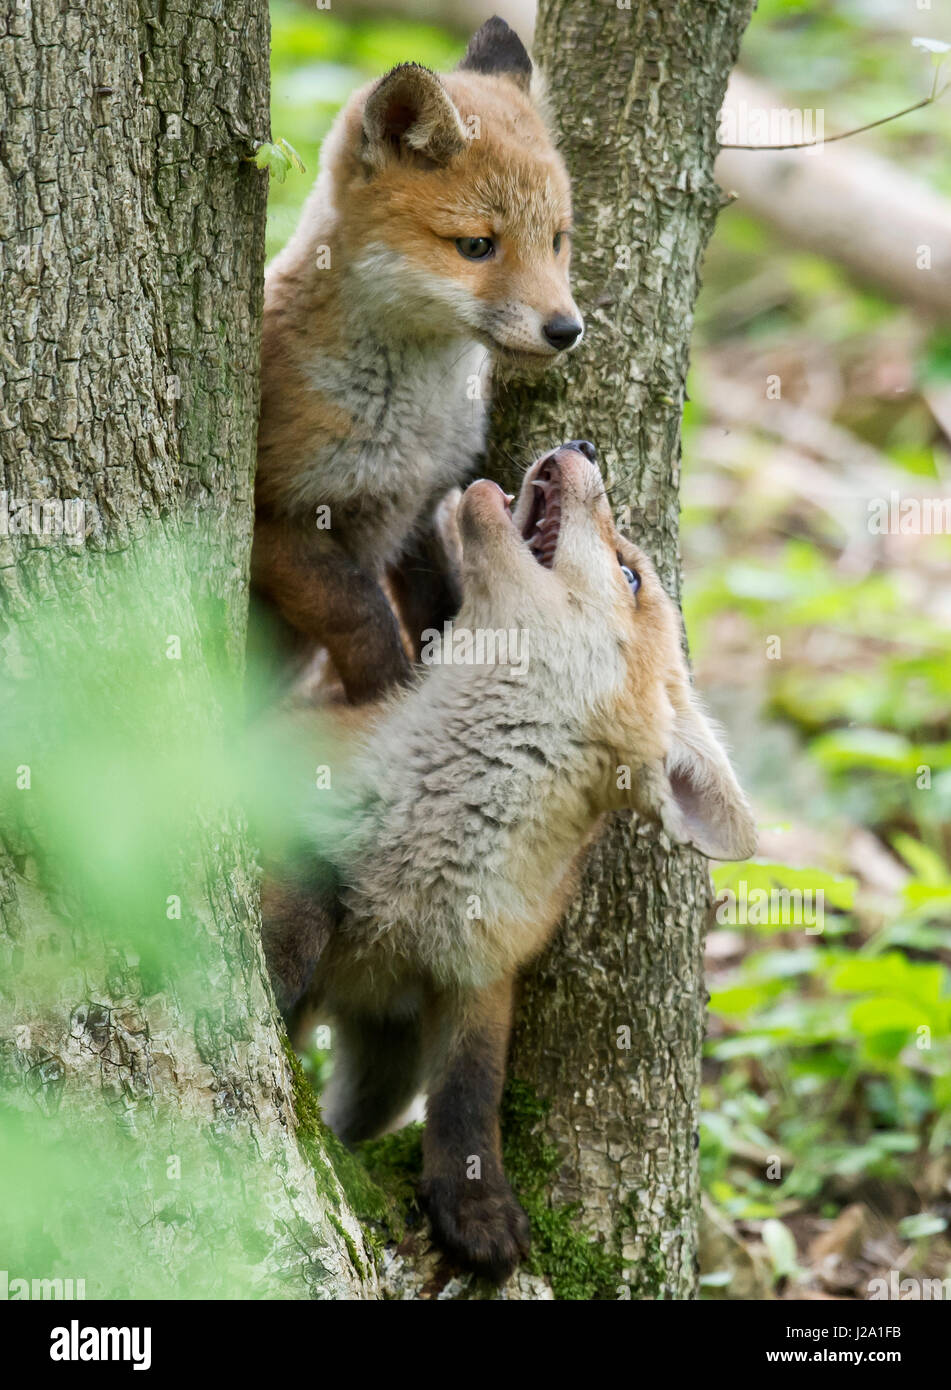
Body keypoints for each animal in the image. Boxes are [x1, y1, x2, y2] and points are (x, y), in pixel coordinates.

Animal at [252, 17, 584, 706]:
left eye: (557, 240)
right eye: (477, 246)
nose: (566, 331)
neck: (409, 428)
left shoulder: (423, 508)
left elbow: (441, 611)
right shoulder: (273, 522)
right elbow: (360, 614)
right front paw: (385, 697)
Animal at [261, 441, 758, 1282]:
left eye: (629, 576)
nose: (582, 447)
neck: (432, 838)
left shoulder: (481, 967)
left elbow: (469, 1097)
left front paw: (475, 1207)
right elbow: (305, 886)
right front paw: (280, 964)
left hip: (384, 1076)